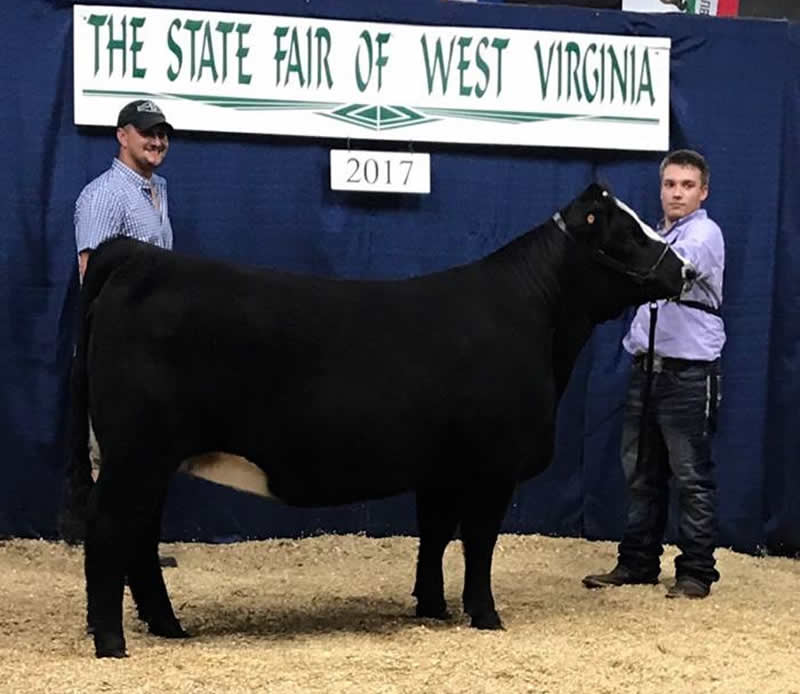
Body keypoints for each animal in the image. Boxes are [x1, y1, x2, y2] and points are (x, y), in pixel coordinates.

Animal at [64, 183, 694, 657]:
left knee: (140, 534)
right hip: (137, 453)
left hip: (150, 458)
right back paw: (112, 642)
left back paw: (168, 626)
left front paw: (432, 607)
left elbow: (435, 534)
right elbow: (479, 542)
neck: (534, 316)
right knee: (111, 527)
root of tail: (136, 256)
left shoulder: (443, 467)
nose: (686, 270)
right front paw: (485, 615)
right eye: (627, 233)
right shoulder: (492, 467)